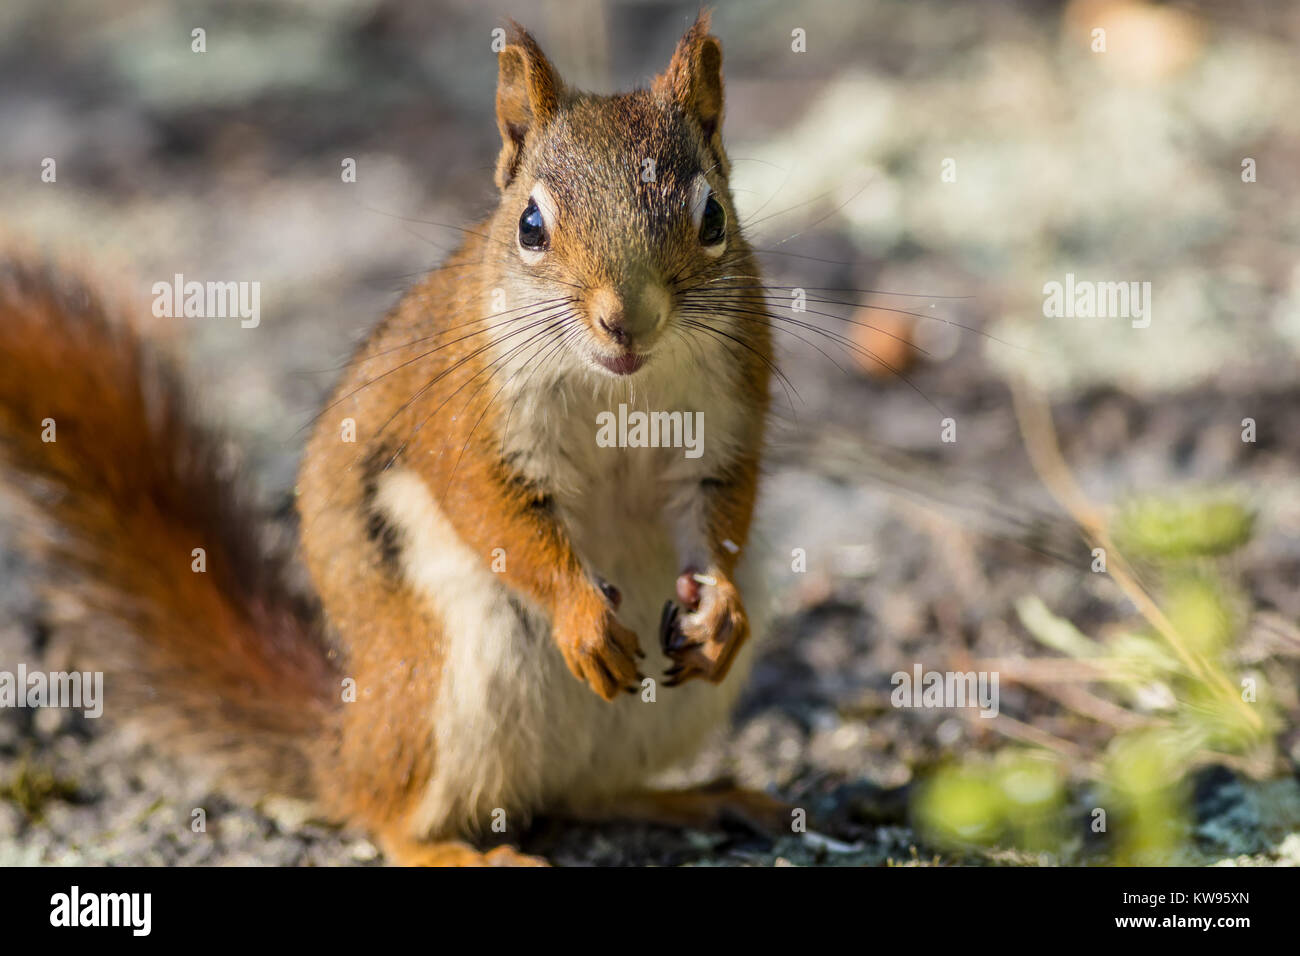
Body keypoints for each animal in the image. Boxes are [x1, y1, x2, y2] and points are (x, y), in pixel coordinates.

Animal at [0, 13, 786, 865]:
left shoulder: (727, 419)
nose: (627, 320)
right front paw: (579, 614)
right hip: (446, 681)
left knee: (587, 793)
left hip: (656, 715)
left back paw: (696, 797)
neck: (619, 386)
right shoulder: (461, 423)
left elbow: (727, 507)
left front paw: (724, 611)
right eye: (531, 226)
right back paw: (457, 850)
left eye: (714, 219)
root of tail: (348, 740)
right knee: (391, 815)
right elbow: (490, 509)